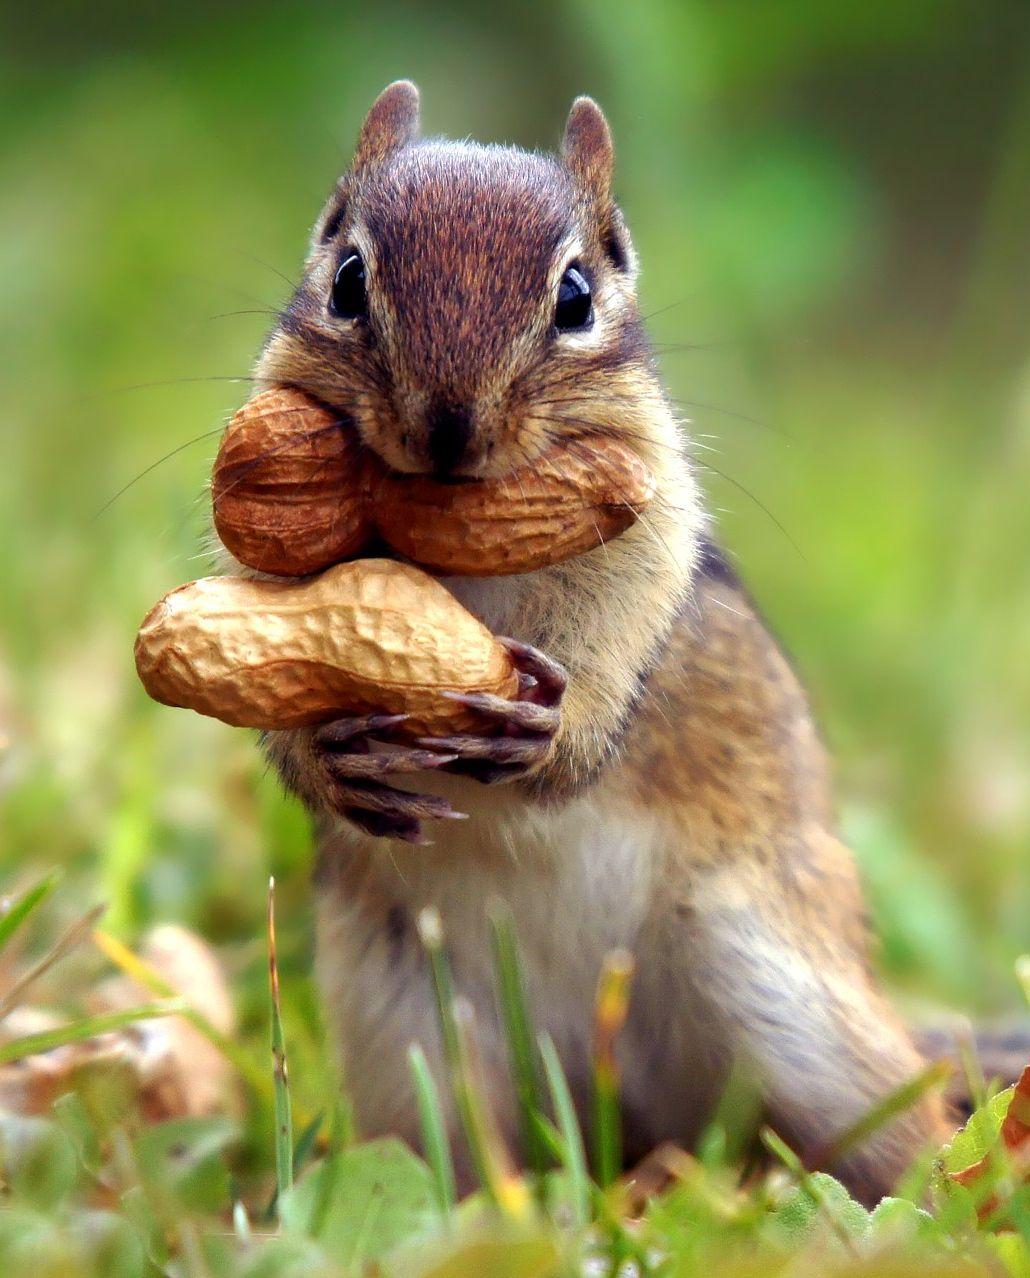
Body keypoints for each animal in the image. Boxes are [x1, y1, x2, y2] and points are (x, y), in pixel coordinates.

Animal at [231, 80, 955, 1205]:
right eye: (347, 280)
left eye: (575, 297)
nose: (448, 431)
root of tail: (619, 1112)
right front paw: (326, 758)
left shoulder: (648, 529)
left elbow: (616, 645)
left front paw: (553, 731)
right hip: (412, 1040)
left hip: (798, 1010)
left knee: (913, 1146)